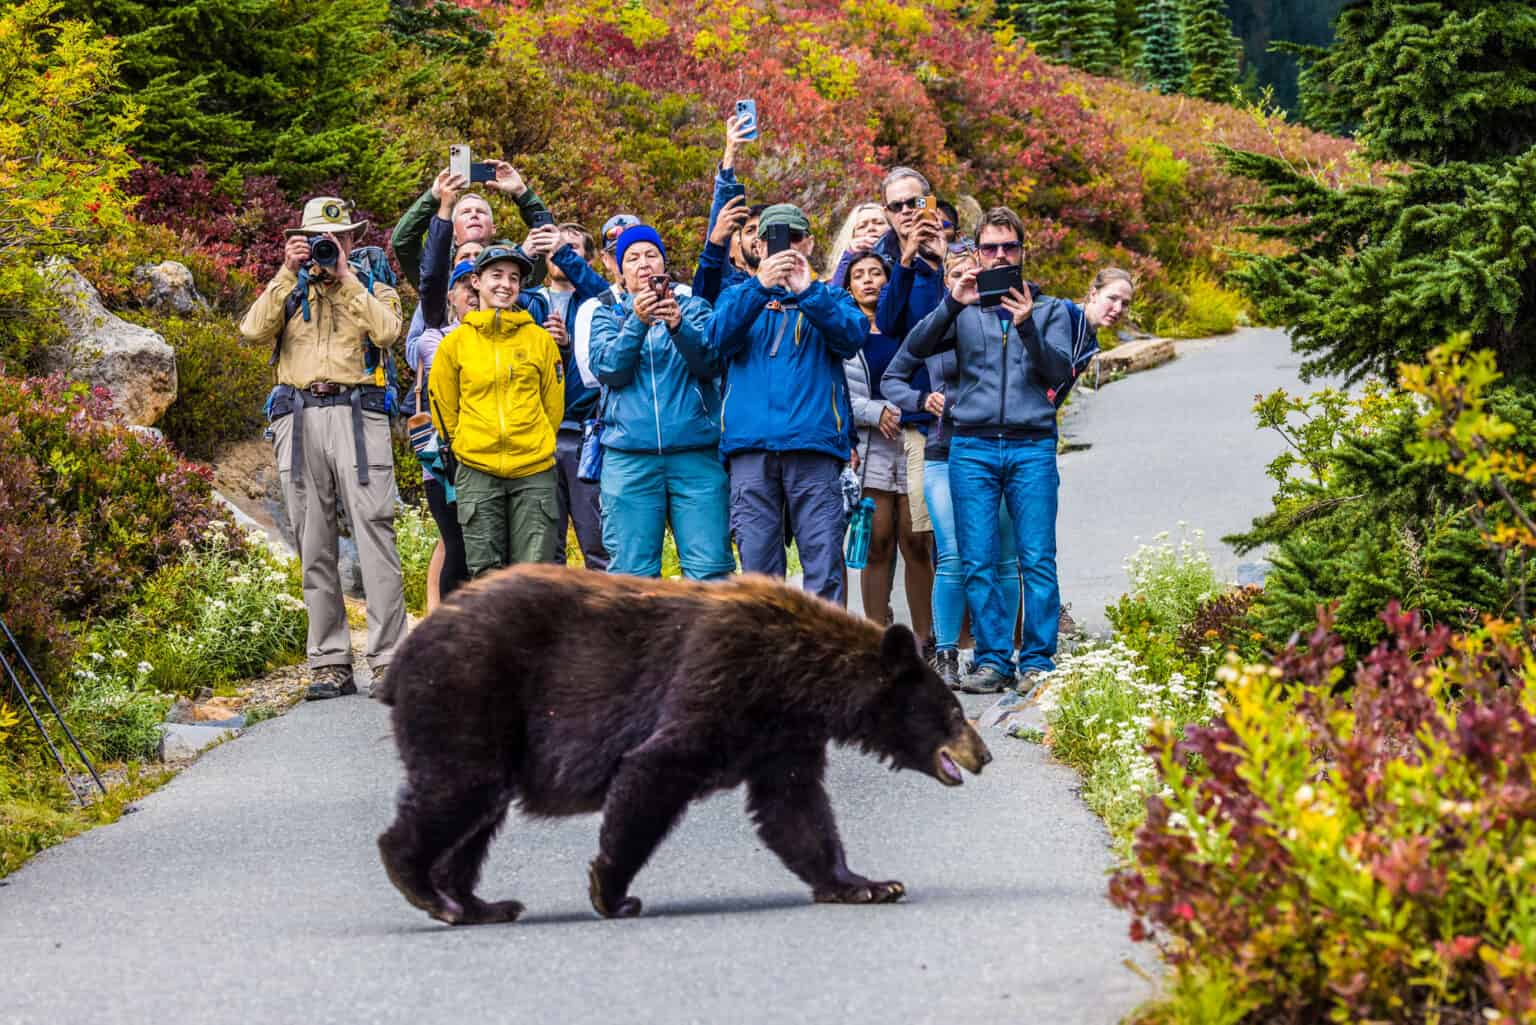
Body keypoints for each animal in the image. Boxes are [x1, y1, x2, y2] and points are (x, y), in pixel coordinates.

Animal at [377, 564, 992, 926]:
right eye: (954, 711)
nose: (983, 755)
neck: (798, 677)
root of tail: (403, 656)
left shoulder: (782, 734)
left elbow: (794, 807)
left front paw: (867, 884)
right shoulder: (722, 677)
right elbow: (657, 766)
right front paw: (612, 892)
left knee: (478, 815)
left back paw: (479, 904)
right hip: (470, 692)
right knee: (461, 789)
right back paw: (426, 889)